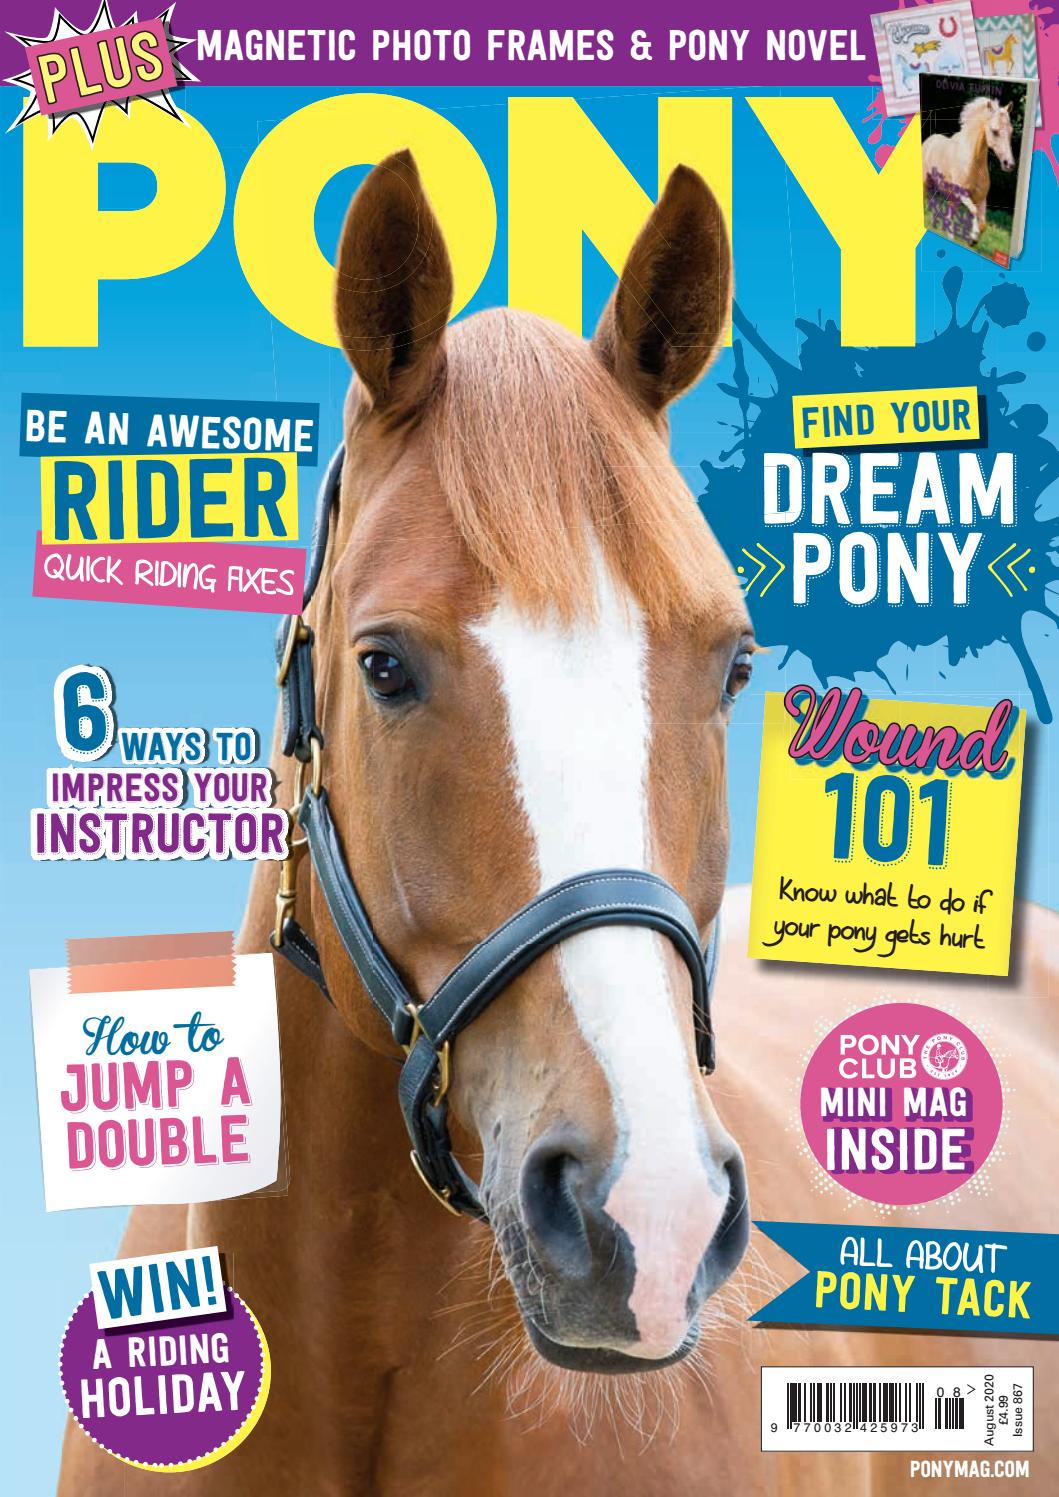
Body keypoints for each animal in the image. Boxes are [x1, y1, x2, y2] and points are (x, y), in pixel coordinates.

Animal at [922, 95, 1016, 242]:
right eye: (994, 131)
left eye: (1011, 131)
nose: (1009, 164)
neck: (974, 164)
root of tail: (929, 140)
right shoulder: (963, 195)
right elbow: (973, 211)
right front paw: (973, 237)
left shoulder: (981, 199)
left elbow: (983, 223)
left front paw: (973, 240)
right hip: (926, 182)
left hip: (952, 197)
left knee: (948, 215)